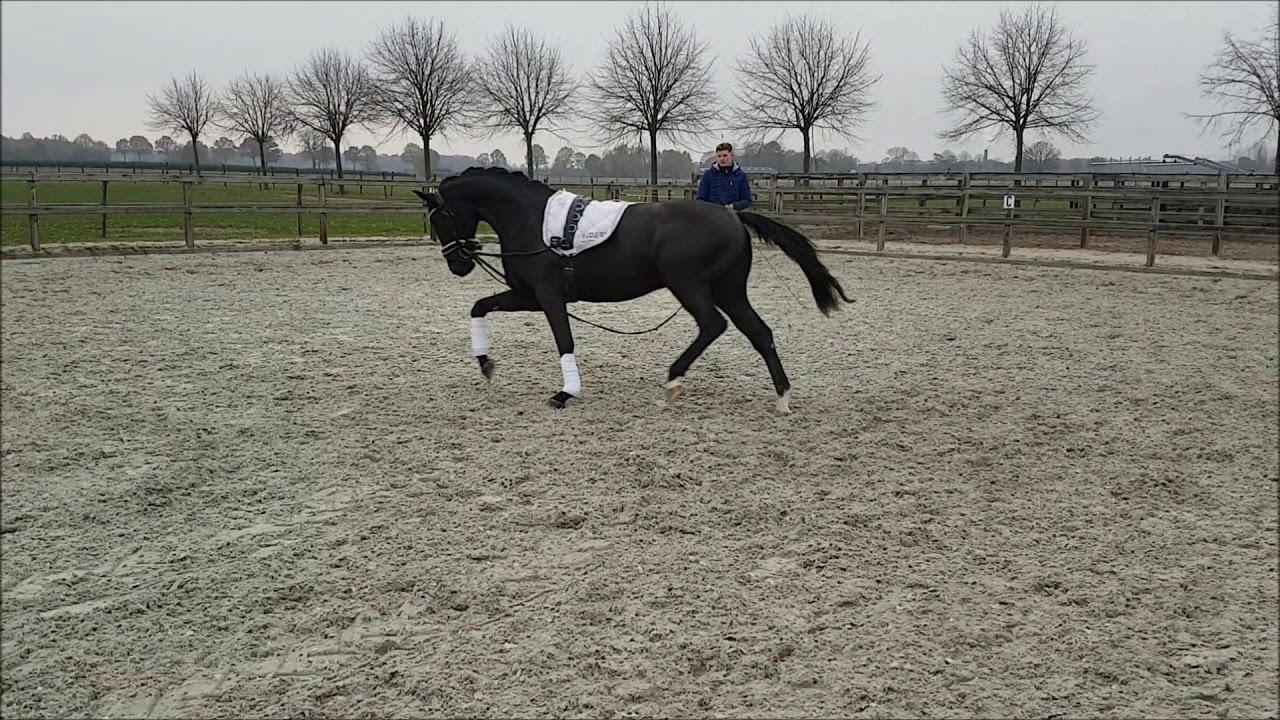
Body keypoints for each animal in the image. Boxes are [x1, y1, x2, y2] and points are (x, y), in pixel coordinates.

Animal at [413, 167, 853, 416]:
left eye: (442, 218)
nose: (458, 265)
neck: (531, 220)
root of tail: (732, 216)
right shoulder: (526, 296)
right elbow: (478, 307)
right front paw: (485, 364)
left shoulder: (549, 296)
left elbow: (564, 341)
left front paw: (565, 393)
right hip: (729, 290)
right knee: (759, 333)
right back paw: (782, 399)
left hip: (688, 285)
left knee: (713, 326)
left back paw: (673, 382)